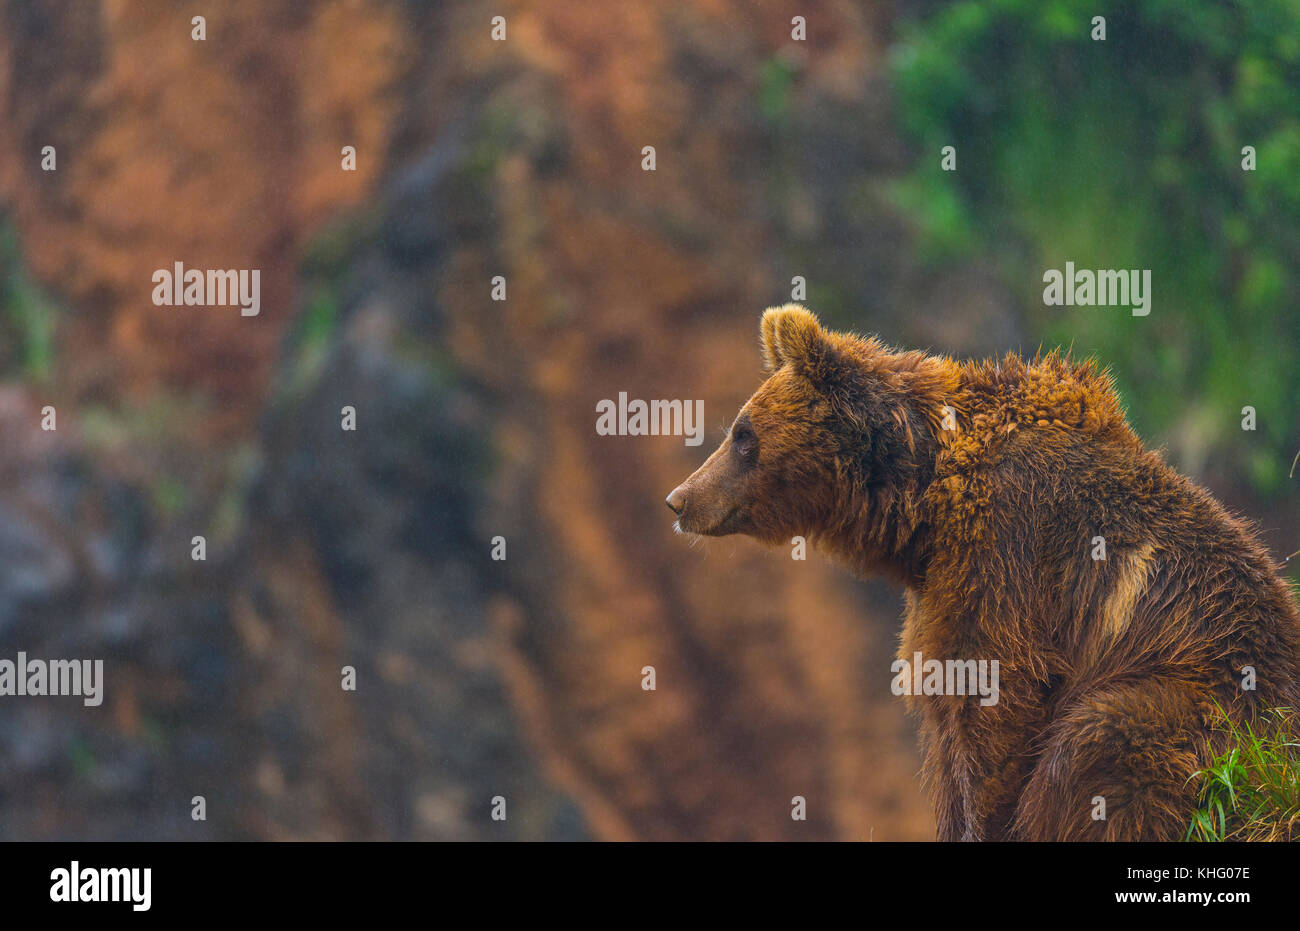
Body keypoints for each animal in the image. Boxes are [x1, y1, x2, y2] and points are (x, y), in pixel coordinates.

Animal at [666, 304, 1300, 841]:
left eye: (742, 436)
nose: (679, 500)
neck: (926, 496)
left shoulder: (1006, 547)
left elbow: (995, 692)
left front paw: (985, 822)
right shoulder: (941, 583)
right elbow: (948, 722)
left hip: (1213, 711)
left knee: (1100, 743)